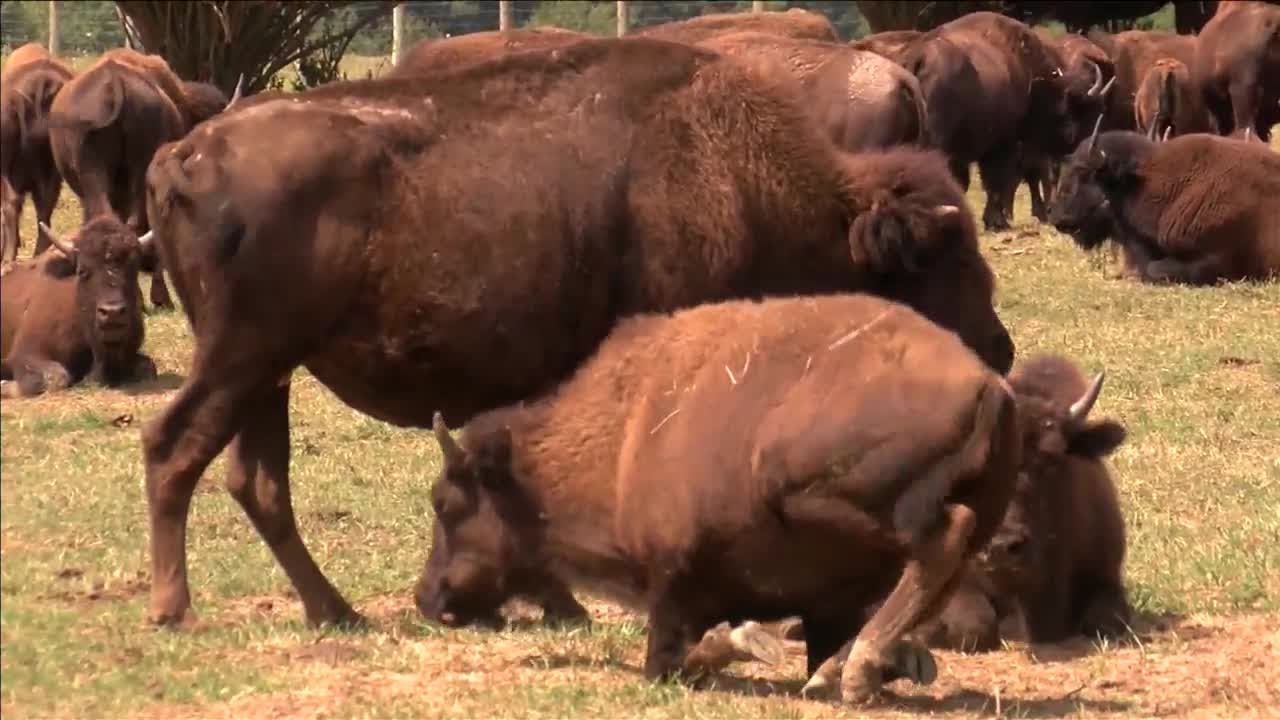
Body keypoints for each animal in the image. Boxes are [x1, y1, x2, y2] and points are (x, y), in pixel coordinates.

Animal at [0, 216, 156, 398]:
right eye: (82, 271)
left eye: (134, 268)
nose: (112, 312)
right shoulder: (25, 354)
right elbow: (56, 378)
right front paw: (4, 385)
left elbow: (148, 367)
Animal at [419, 294, 1020, 703]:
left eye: (446, 503)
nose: (428, 596)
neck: (620, 441)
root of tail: (987, 384)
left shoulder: (672, 593)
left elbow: (679, 658)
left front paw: (748, 642)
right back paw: (854, 666)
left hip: (804, 489)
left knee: (942, 538)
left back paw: (860, 667)